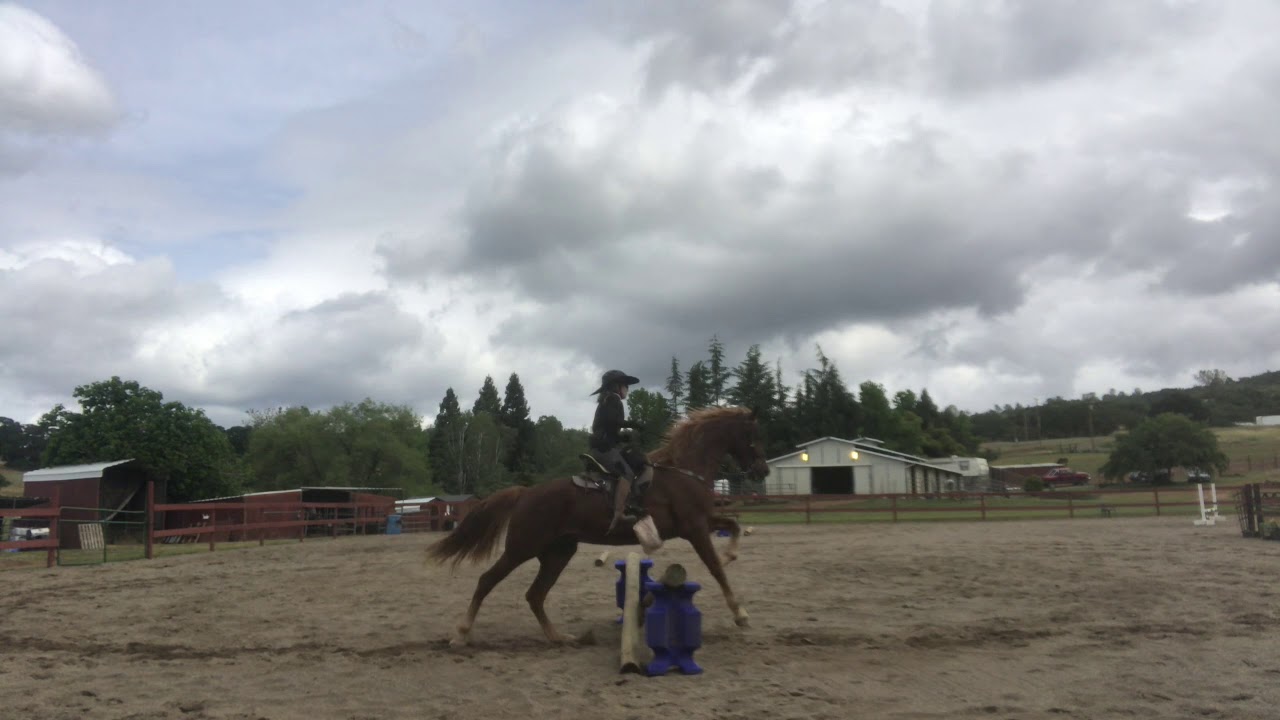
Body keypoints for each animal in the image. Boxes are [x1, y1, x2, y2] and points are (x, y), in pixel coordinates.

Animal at [424, 405, 771, 648]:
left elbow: (732, 527)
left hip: (558, 552)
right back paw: (461, 634)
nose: (762, 470)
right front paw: (740, 614)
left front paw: (730, 555)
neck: (684, 469)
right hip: (522, 548)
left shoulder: (701, 522)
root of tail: (526, 492)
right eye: (753, 436)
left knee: (535, 595)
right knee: (488, 581)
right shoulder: (695, 528)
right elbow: (716, 568)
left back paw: (559, 637)